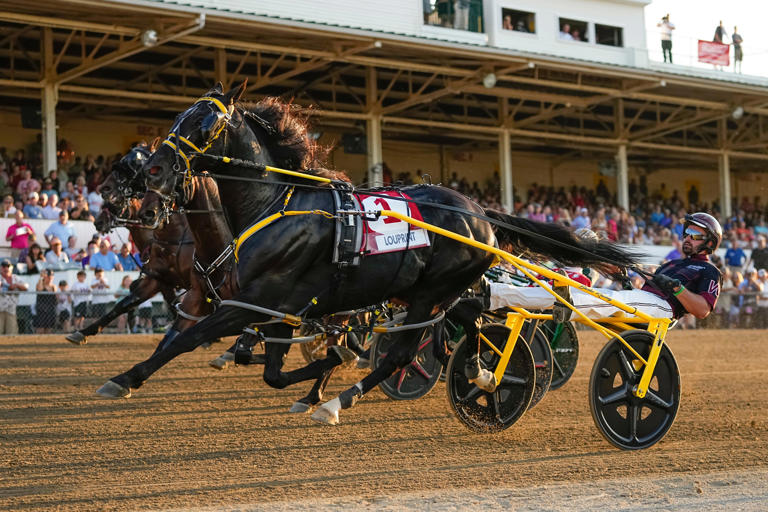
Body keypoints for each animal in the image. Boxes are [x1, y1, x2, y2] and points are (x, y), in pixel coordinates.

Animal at [97, 83, 640, 427]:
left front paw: (123, 378)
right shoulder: (267, 308)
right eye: (178, 117)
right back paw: (482, 372)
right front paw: (320, 368)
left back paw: (342, 401)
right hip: (436, 292)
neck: (275, 203)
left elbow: (190, 341)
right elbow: (267, 370)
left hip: (429, 294)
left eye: (204, 121)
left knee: (407, 349)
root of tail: (480, 211)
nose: (157, 171)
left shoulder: (260, 302)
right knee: (470, 325)